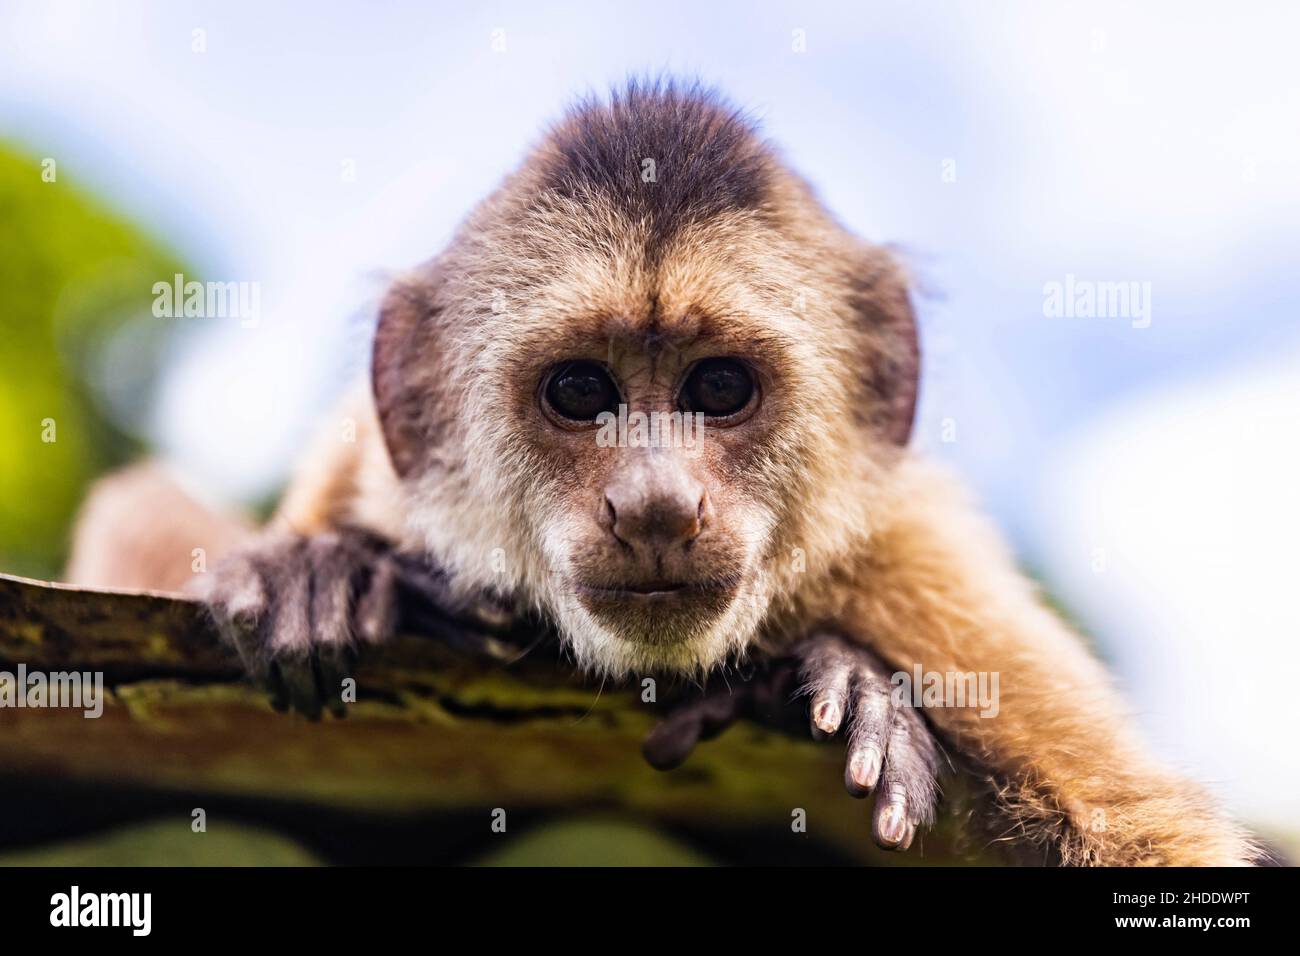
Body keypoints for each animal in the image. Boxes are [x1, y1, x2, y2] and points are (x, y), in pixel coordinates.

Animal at [66, 79, 1256, 865]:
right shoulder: (365, 465)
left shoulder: (921, 578)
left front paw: (838, 678)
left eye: (719, 387)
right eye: (581, 391)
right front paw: (325, 576)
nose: (653, 504)